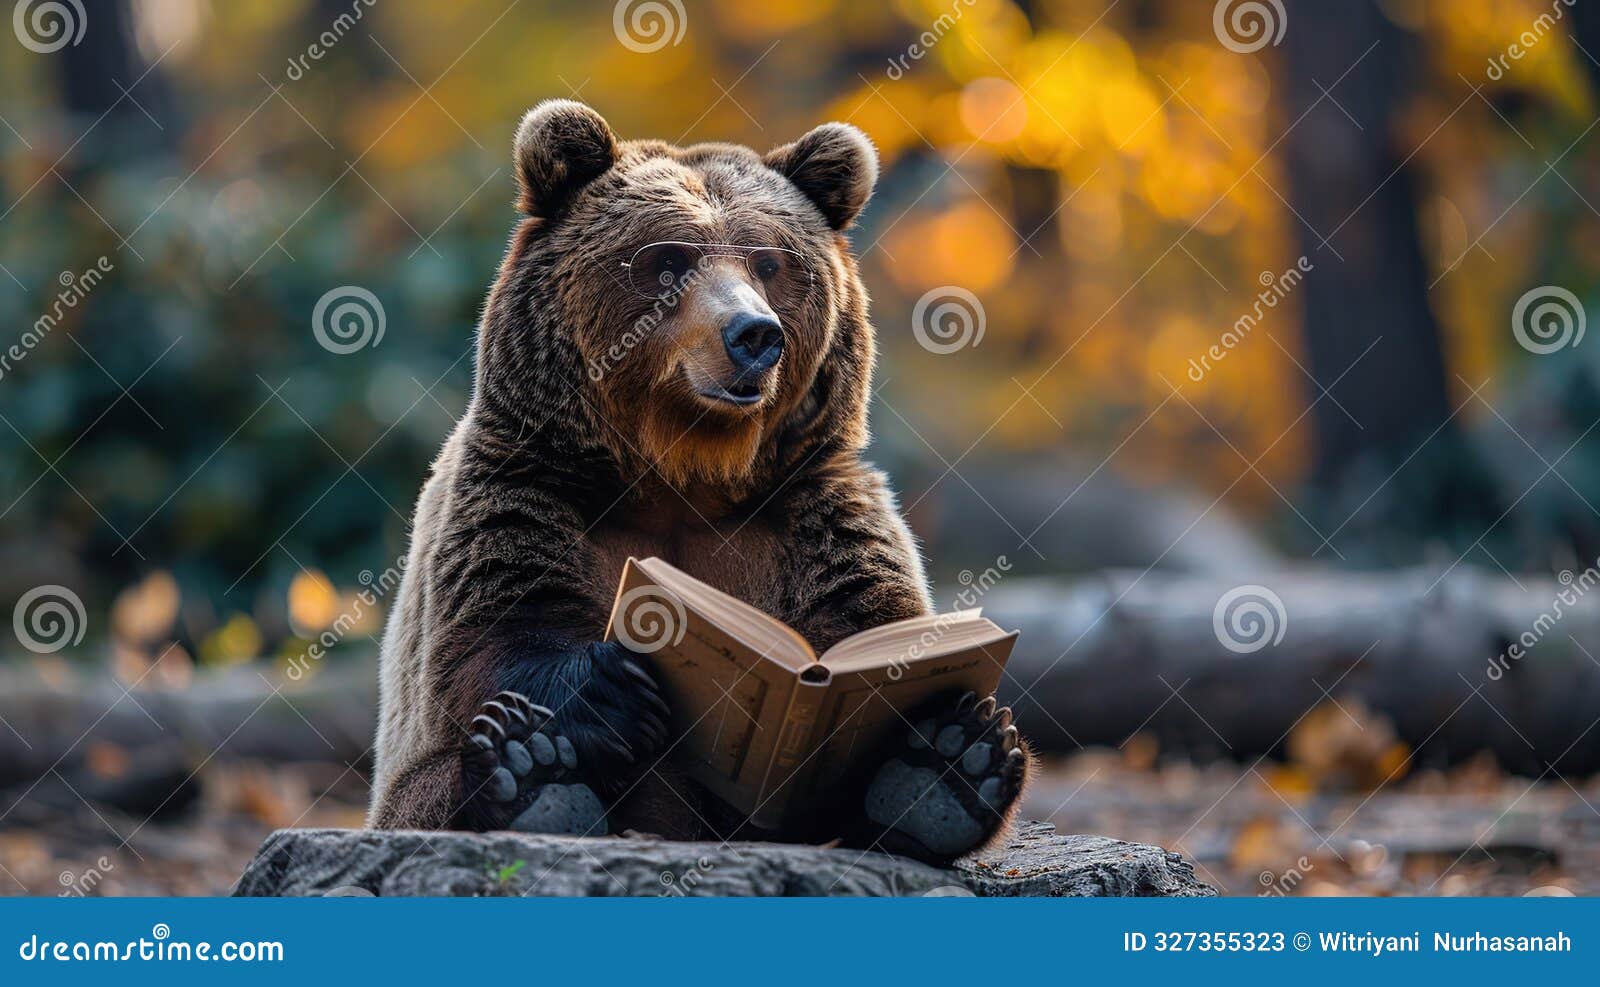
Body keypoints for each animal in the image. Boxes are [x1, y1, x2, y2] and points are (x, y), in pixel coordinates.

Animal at [367, 99, 1030, 865]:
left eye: (768, 262)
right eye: (668, 259)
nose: (754, 334)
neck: (683, 472)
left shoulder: (814, 507)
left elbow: (872, 625)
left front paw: (944, 744)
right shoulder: (527, 480)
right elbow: (494, 629)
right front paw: (604, 691)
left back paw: (946, 773)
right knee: (438, 783)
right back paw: (534, 776)